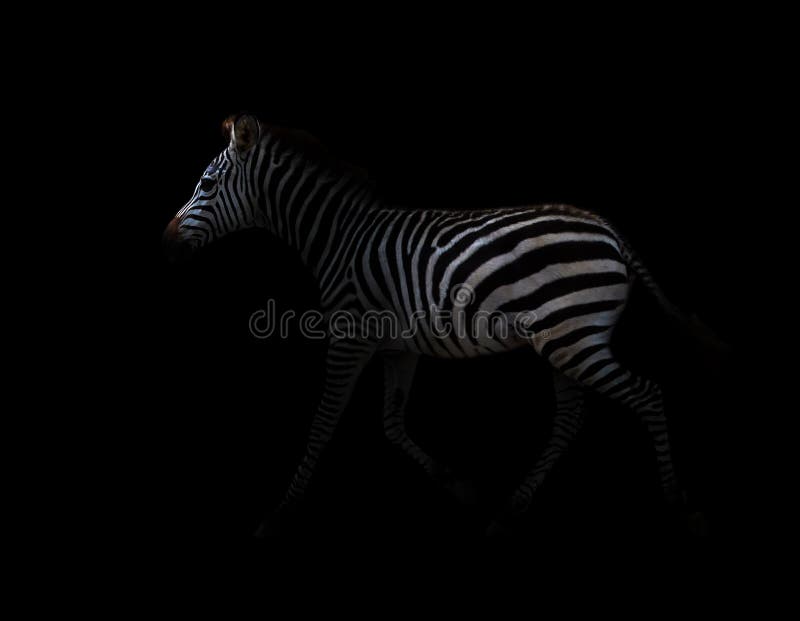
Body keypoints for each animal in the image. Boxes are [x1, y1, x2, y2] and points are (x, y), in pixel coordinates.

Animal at [163, 113, 717, 537]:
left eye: (206, 184)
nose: (165, 242)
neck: (340, 238)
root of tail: (608, 230)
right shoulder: (399, 348)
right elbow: (391, 423)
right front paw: (459, 486)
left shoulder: (349, 338)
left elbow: (323, 423)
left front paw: (279, 513)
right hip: (564, 341)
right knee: (570, 420)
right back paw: (508, 510)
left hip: (574, 339)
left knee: (648, 394)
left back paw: (677, 503)